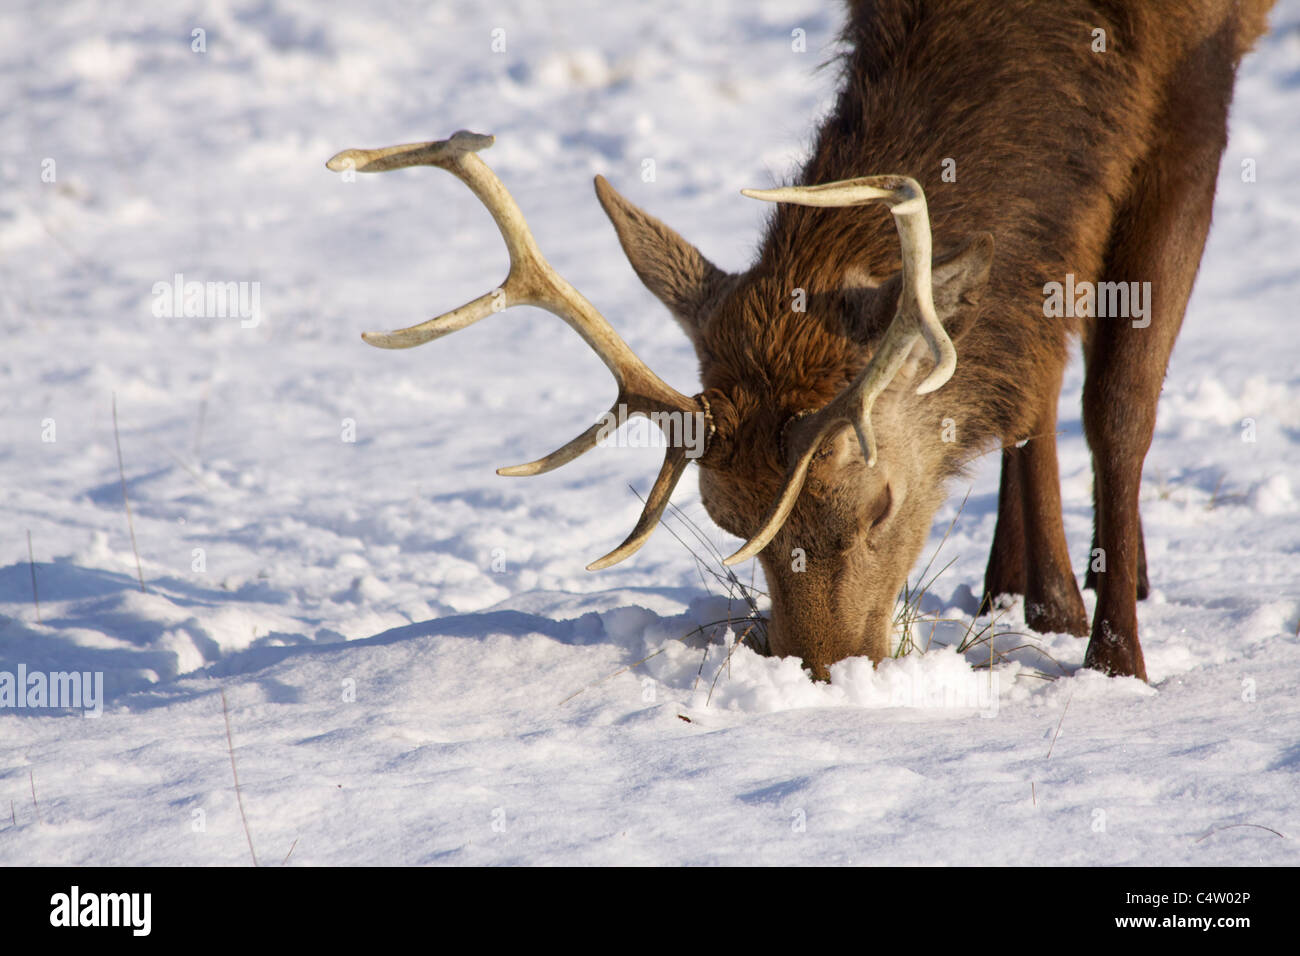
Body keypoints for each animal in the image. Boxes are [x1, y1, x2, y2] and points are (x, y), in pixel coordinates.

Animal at [328, 0, 1274, 682]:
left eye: (881, 503)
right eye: (725, 518)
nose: (825, 672)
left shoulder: (1198, 74)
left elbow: (1120, 402)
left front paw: (1117, 662)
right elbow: (1033, 355)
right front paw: (1048, 609)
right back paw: (1034, 590)